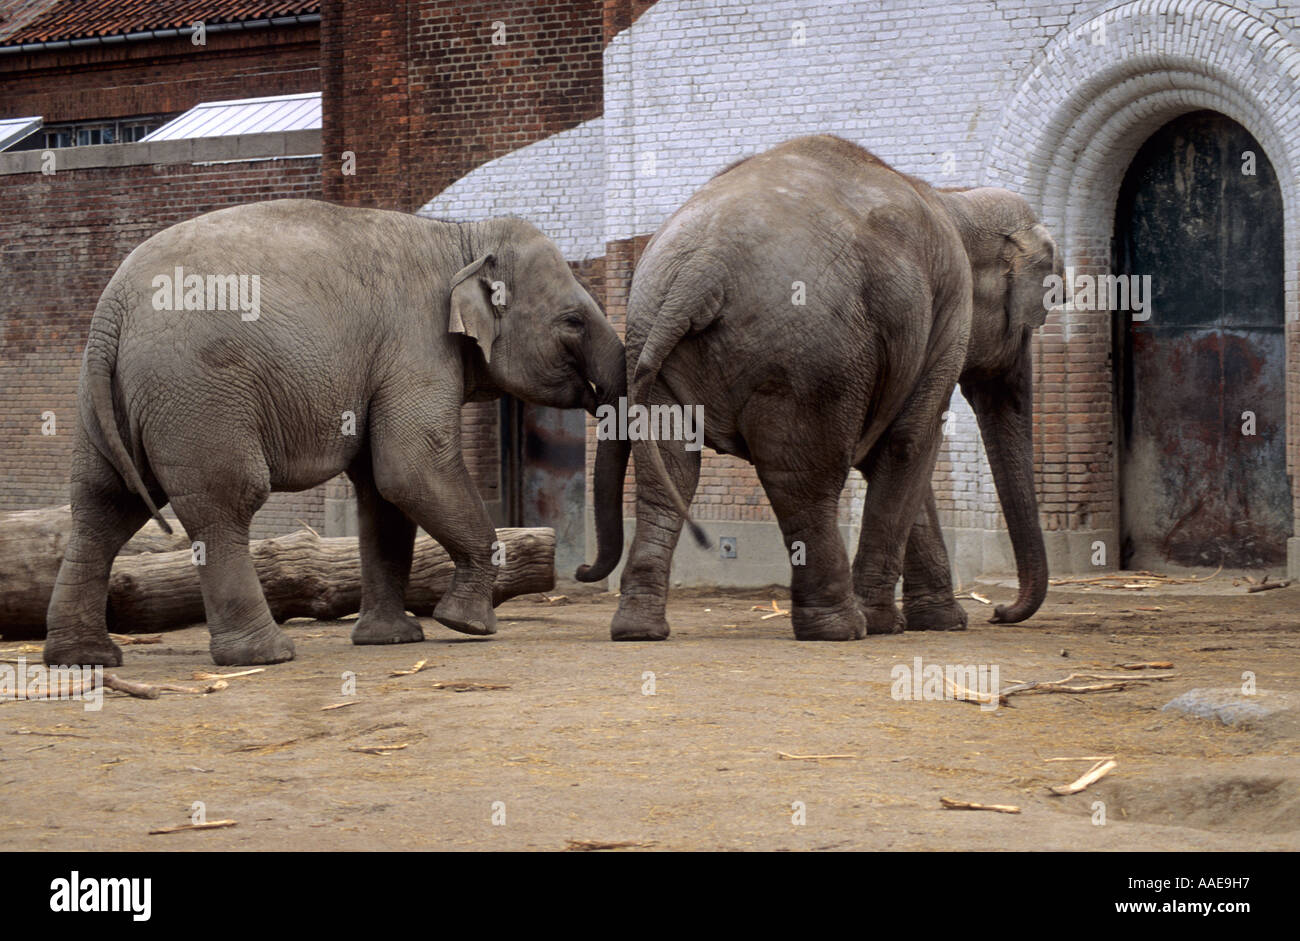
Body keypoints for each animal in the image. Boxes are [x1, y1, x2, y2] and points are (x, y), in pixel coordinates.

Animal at [44, 199, 630, 668]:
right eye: (573, 321)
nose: (580, 569)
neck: (461, 236)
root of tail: (112, 312)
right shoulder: (415, 345)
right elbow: (412, 467)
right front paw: (467, 626)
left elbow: (383, 490)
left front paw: (391, 640)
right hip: (198, 394)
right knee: (224, 503)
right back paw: (265, 656)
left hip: (107, 399)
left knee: (103, 505)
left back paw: (85, 658)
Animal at [610, 134, 1059, 642]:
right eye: (1033, 322)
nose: (999, 611)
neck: (955, 200)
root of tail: (701, 268)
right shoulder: (949, 312)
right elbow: (909, 443)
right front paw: (892, 624)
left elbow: (896, 454)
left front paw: (941, 622)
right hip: (812, 353)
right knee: (806, 476)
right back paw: (842, 626)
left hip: (648, 336)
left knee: (668, 471)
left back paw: (638, 629)